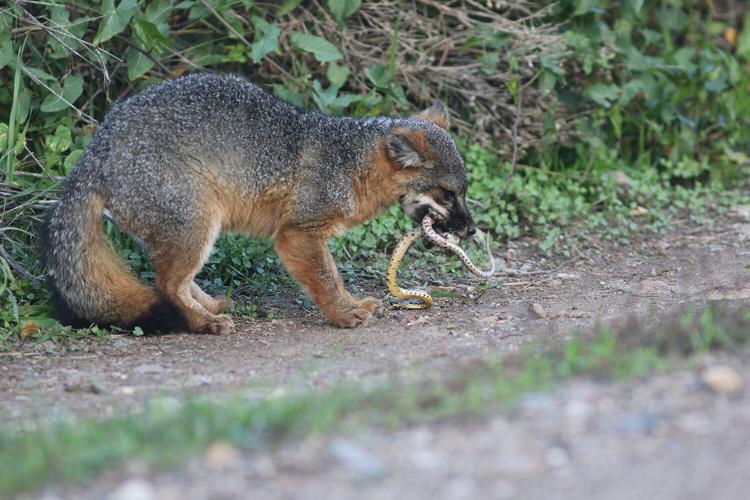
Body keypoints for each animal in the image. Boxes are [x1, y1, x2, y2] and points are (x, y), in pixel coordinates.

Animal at [41, 72, 476, 334]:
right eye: (447, 193)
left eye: (464, 191)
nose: (472, 230)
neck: (348, 163)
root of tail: (95, 152)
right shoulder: (298, 234)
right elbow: (327, 278)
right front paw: (344, 313)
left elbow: (335, 276)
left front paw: (353, 303)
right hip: (198, 224)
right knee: (166, 285)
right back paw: (203, 323)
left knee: (174, 281)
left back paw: (210, 306)